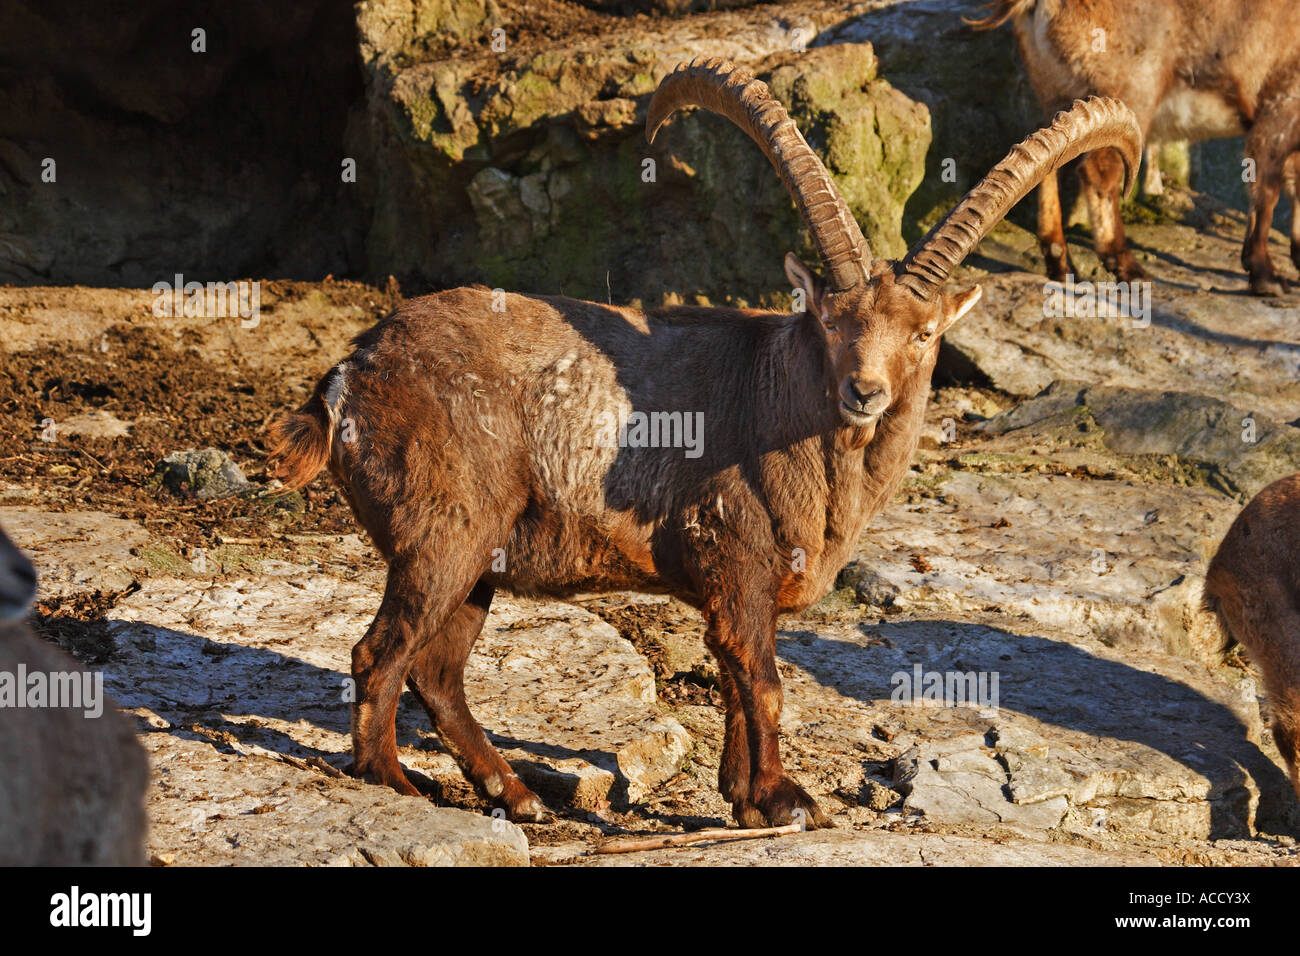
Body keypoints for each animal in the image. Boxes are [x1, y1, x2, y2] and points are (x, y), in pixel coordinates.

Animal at [271, 57, 1140, 828]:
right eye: (830, 320)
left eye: (923, 334)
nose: (863, 391)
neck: (780, 402)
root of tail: (348, 374)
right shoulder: (736, 556)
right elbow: (763, 679)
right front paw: (786, 802)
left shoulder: (736, 584)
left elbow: (730, 673)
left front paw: (743, 796)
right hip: (443, 533)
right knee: (380, 656)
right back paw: (395, 781)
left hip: (480, 560)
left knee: (437, 672)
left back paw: (512, 793)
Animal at [971, 0, 1300, 295]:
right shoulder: (1280, 104)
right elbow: (1267, 191)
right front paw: (1267, 276)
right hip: (1129, 90)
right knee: (1099, 173)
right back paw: (1125, 264)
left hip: (1056, 96)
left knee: (1048, 167)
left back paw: (1061, 265)